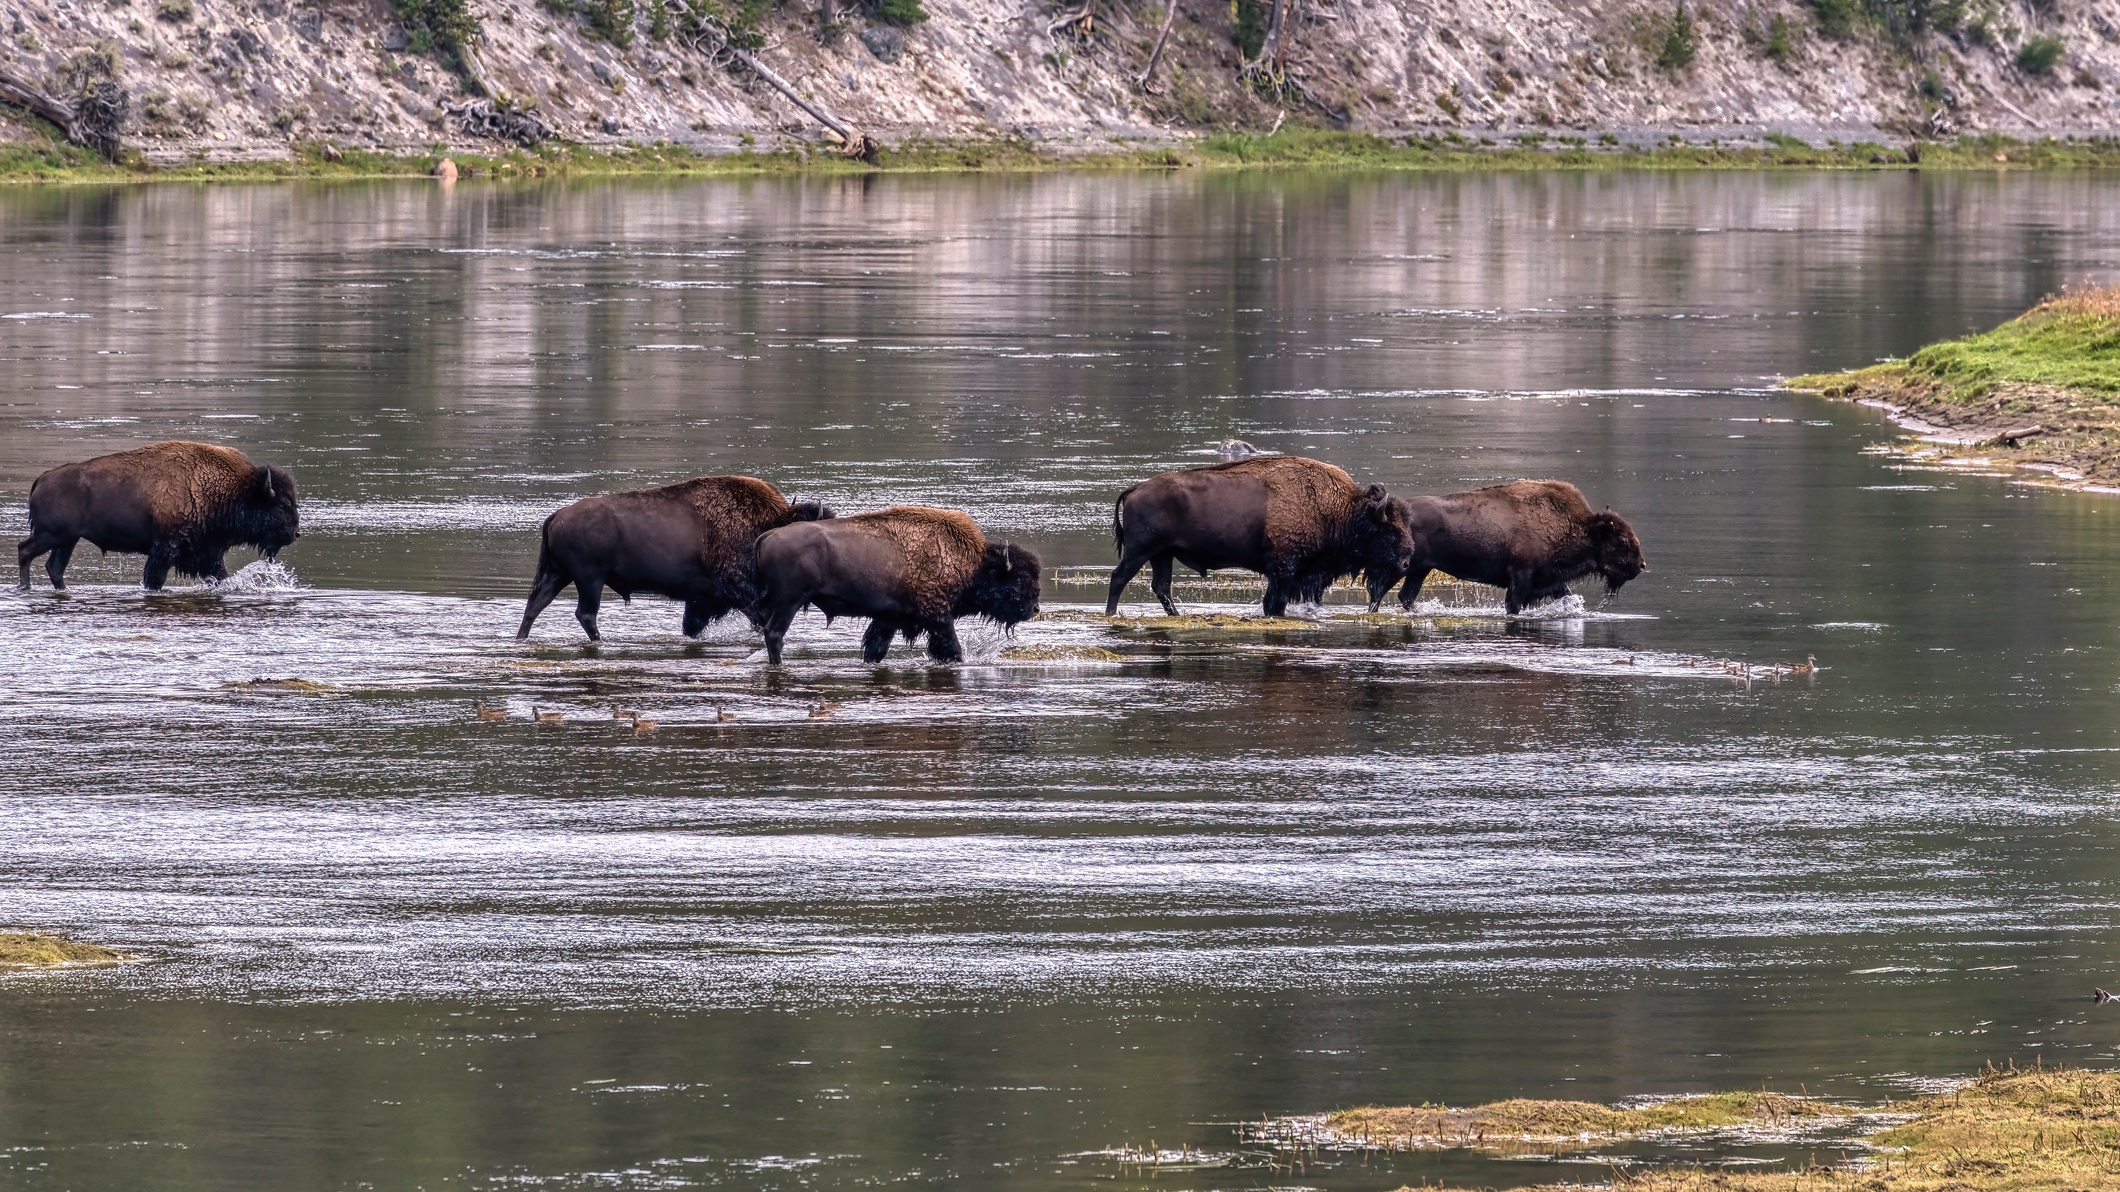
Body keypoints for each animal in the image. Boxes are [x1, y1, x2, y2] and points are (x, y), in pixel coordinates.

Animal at [17, 441, 299, 590]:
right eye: (282, 504)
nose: (295, 533)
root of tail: (42, 479)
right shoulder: (165, 548)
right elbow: (154, 578)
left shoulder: (208, 555)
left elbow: (219, 576)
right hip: (52, 535)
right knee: (25, 551)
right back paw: (25, 587)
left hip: (67, 540)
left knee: (54, 567)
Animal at [517, 476, 832, 642]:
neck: (765, 526)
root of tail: (556, 516)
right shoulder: (741, 595)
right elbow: (758, 618)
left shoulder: (702, 601)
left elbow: (692, 626)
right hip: (589, 579)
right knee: (585, 613)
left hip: (559, 575)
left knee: (535, 605)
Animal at [752, 506, 1041, 665]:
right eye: (1018, 579)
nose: (1034, 608)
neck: (972, 562)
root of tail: (768, 536)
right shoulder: (938, 616)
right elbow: (952, 649)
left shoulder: (887, 619)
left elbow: (875, 648)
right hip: (789, 602)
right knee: (774, 634)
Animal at [1105, 455, 1414, 617]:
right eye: (1387, 530)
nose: (1406, 561)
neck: (1341, 509)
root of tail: (1135, 489)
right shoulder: (1284, 569)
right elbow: (1276, 603)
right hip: (1140, 552)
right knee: (1119, 578)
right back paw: (1110, 614)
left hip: (1162, 555)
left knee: (1161, 587)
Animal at [1390, 479, 1646, 614]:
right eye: (1622, 540)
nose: (1641, 565)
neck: (1581, 527)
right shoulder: (1521, 575)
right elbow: (1513, 605)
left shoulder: (1552, 580)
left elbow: (1566, 596)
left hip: (1420, 570)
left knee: (1406, 595)